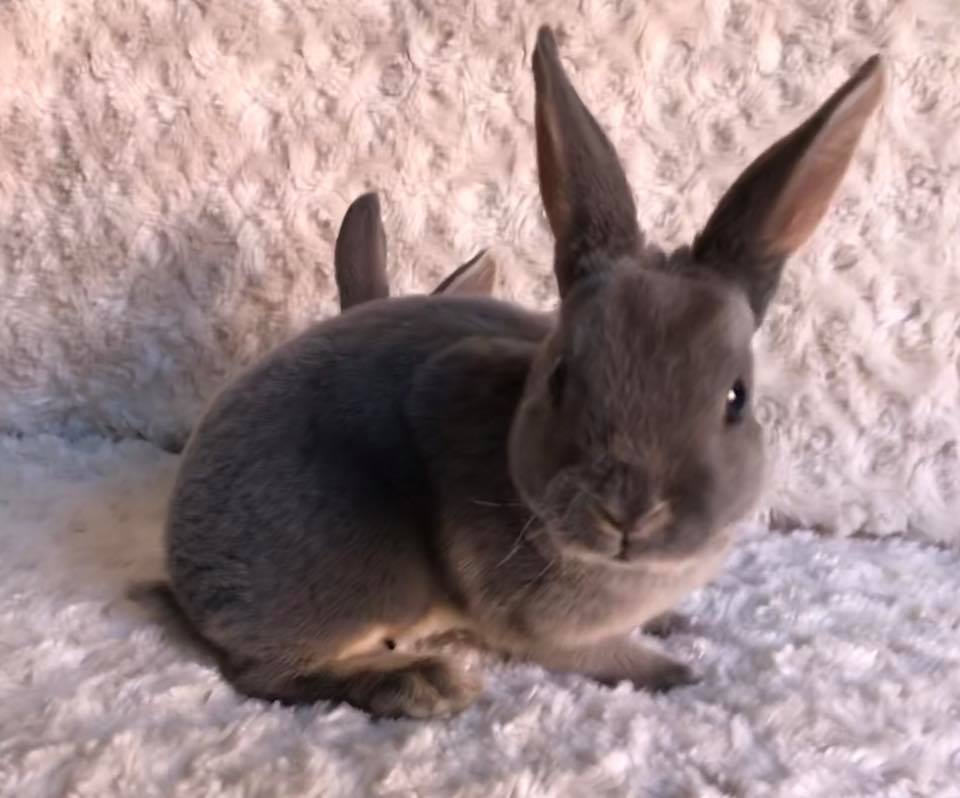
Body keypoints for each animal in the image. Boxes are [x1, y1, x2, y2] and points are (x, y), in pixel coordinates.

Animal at [164, 26, 884, 719]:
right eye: (561, 378)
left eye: (736, 398)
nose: (629, 513)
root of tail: (184, 564)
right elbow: (582, 652)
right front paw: (667, 669)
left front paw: (677, 624)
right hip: (361, 573)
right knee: (264, 671)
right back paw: (422, 684)